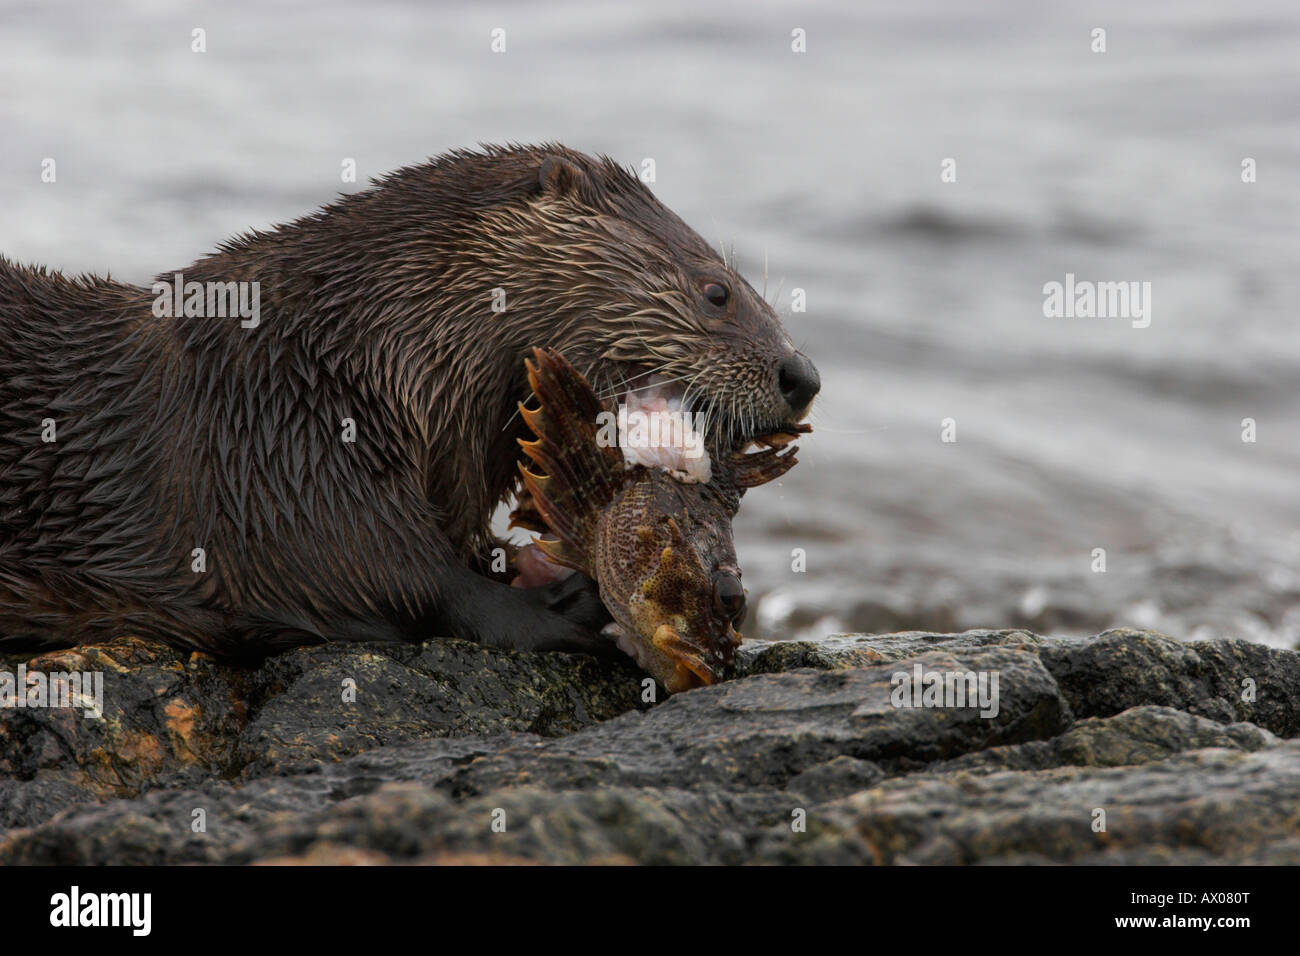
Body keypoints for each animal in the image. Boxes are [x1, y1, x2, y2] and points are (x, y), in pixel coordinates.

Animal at [0, 144, 820, 659]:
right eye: (717, 290)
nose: (803, 375)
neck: (348, 350)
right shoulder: (277, 458)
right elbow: (392, 576)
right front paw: (557, 605)